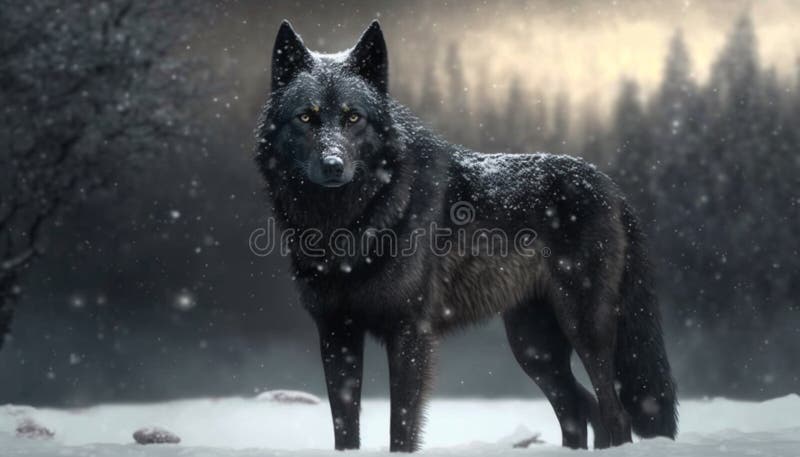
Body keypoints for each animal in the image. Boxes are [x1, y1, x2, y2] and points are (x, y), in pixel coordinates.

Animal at [255, 20, 677, 452]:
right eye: (307, 117)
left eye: (353, 117)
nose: (333, 165)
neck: (344, 223)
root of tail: (612, 187)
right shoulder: (336, 331)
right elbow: (344, 429)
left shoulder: (409, 333)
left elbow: (401, 428)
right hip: (533, 349)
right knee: (578, 411)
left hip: (583, 329)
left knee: (614, 413)